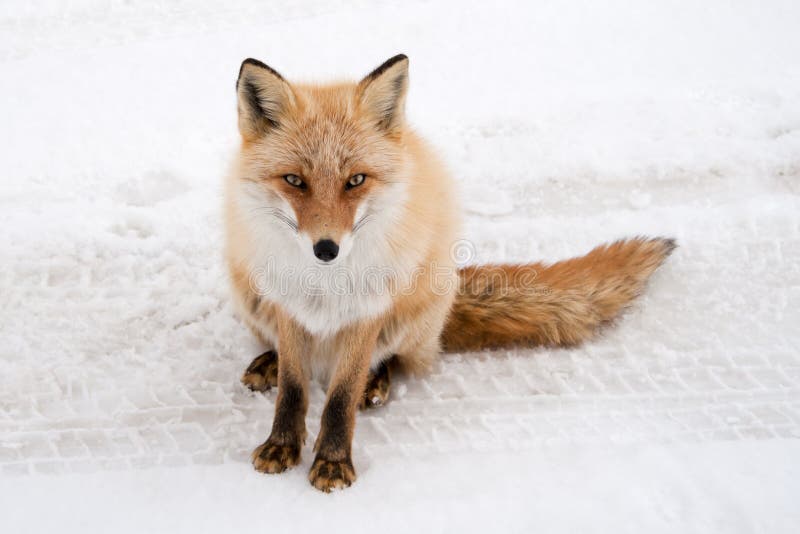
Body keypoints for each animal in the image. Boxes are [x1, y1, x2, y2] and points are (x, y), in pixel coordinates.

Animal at [224, 54, 675, 492]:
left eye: (355, 180)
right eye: (294, 180)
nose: (326, 249)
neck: (323, 286)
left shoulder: (368, 309)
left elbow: (341, 396)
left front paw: (333, 461)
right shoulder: (288, 304)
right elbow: (293, 387)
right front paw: (282, 444)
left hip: (411, 313)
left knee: (391, 360)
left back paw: (375, 383)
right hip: (248, 295)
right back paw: (268, 362)